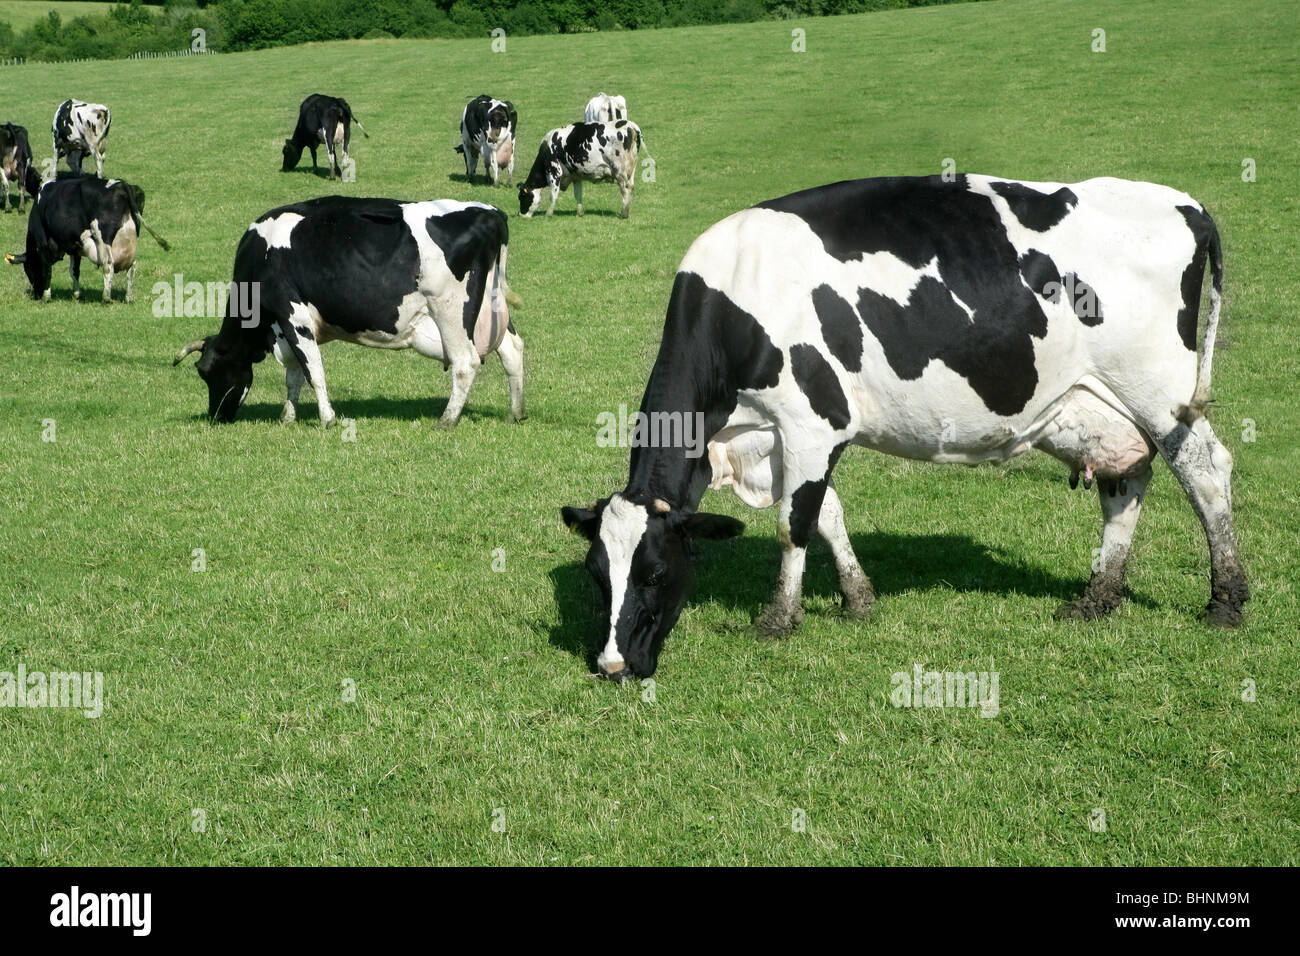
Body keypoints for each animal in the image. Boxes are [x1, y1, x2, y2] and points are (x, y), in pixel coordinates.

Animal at [5, 176, 169, 303]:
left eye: (28, 269)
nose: (36, 295)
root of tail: (121, 184)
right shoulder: (74, 246)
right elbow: (74, 271)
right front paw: (77, 295)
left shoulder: (43, 243)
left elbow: (47, 270)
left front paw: (46, 297)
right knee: (132, 267)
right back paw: (128, 297)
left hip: (103, 236)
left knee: (108, 264)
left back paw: (106, 298)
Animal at [173, 197, 525, 429]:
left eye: (208, 372)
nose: (216, 417)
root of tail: (491, 213)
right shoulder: (287, 329)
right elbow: (294, 375)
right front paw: (287, 417)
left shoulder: (294, 317)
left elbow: (312, 371)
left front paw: (327, 419)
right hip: (492, 309)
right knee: (513, 351)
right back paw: (516, 412)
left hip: (450, 311)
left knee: (466, 362)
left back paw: (447, 420)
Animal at [562, 175, 1249, 681]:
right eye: (597, 575)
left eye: (654, 574)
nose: (613, 666)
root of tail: (1184, 203)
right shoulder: (784, 438)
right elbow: (829, 515)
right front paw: (858, 599)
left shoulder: (812, 422)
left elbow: (793, 524)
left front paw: (779, 619)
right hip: (1102, 407)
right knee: (1125, 482)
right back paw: (1097, 597)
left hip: (1160, 392)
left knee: (1206, 470)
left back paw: (1226, 600)